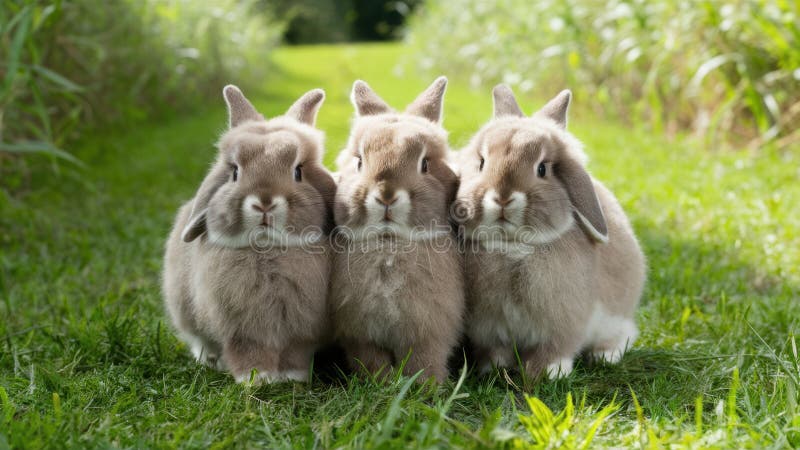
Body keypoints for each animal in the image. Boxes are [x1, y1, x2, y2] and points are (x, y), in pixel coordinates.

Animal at [162, 85, 337, 384]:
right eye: (235, 172)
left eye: (298, 171)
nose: (264, 202)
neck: (268, 251)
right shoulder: (240, 331)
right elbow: (247, 353)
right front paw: (257, 379)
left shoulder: (301, 334)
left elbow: (295, 355)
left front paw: (293, 378)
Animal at [328, 77, 464, 382]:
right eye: (359, 161)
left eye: (425, 163)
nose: (386, 196)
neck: (389, 242)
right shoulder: (360, 334)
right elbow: (371, 360)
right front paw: (381, 382)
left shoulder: (428, 332)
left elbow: (424, 360)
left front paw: (425, 386)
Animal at [453, 85, 646, 379]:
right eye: (482, 162)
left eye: (542, 168)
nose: (502, 197)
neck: (512, 248)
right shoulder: (491, 328)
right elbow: (496, 350)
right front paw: (494, 368)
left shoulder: (564, 324)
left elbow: (557, 348)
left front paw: (548, 372)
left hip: (616, 318)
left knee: (625, 334)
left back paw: (605, 355)